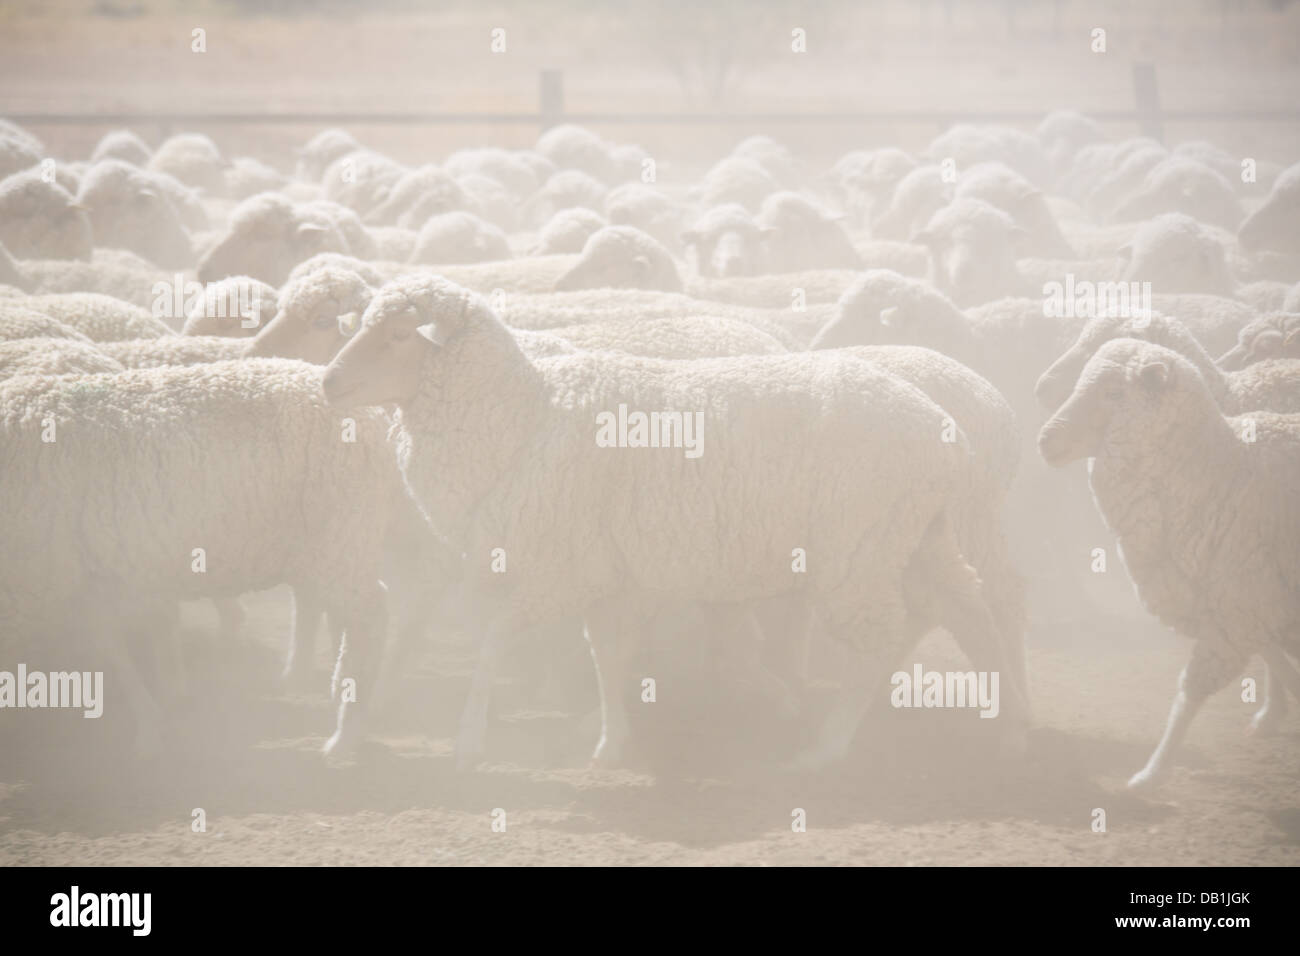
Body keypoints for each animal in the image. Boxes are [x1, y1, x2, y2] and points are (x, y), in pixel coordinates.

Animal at [0, 358, 401, 757]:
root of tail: (373, 416)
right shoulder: (93, 584)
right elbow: (116, 652)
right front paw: (155, 718)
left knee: (370, 618)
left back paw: (345, 735)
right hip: (322, 543)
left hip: (341, 532)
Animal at [321, 274, 1012, 769]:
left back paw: (828, 746)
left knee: (884, 641)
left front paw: (469, 743)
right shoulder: (608, 578)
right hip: (915, 537)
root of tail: (943, 431)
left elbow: (494, 647)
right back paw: (1013, 729)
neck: (525, 415)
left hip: (857, 556)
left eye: (399, 337)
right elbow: (607, 655)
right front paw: (610, 744)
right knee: (972, 610)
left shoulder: (556, 574)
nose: (328, 383)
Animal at [1037, 338, 1300, 789]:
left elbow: (1188, 696)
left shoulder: (1239, 612)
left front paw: (1149, 775)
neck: (1219, 475)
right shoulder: (1247, 609)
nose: (1045, 439)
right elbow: (1279, 664)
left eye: (1114, 393)